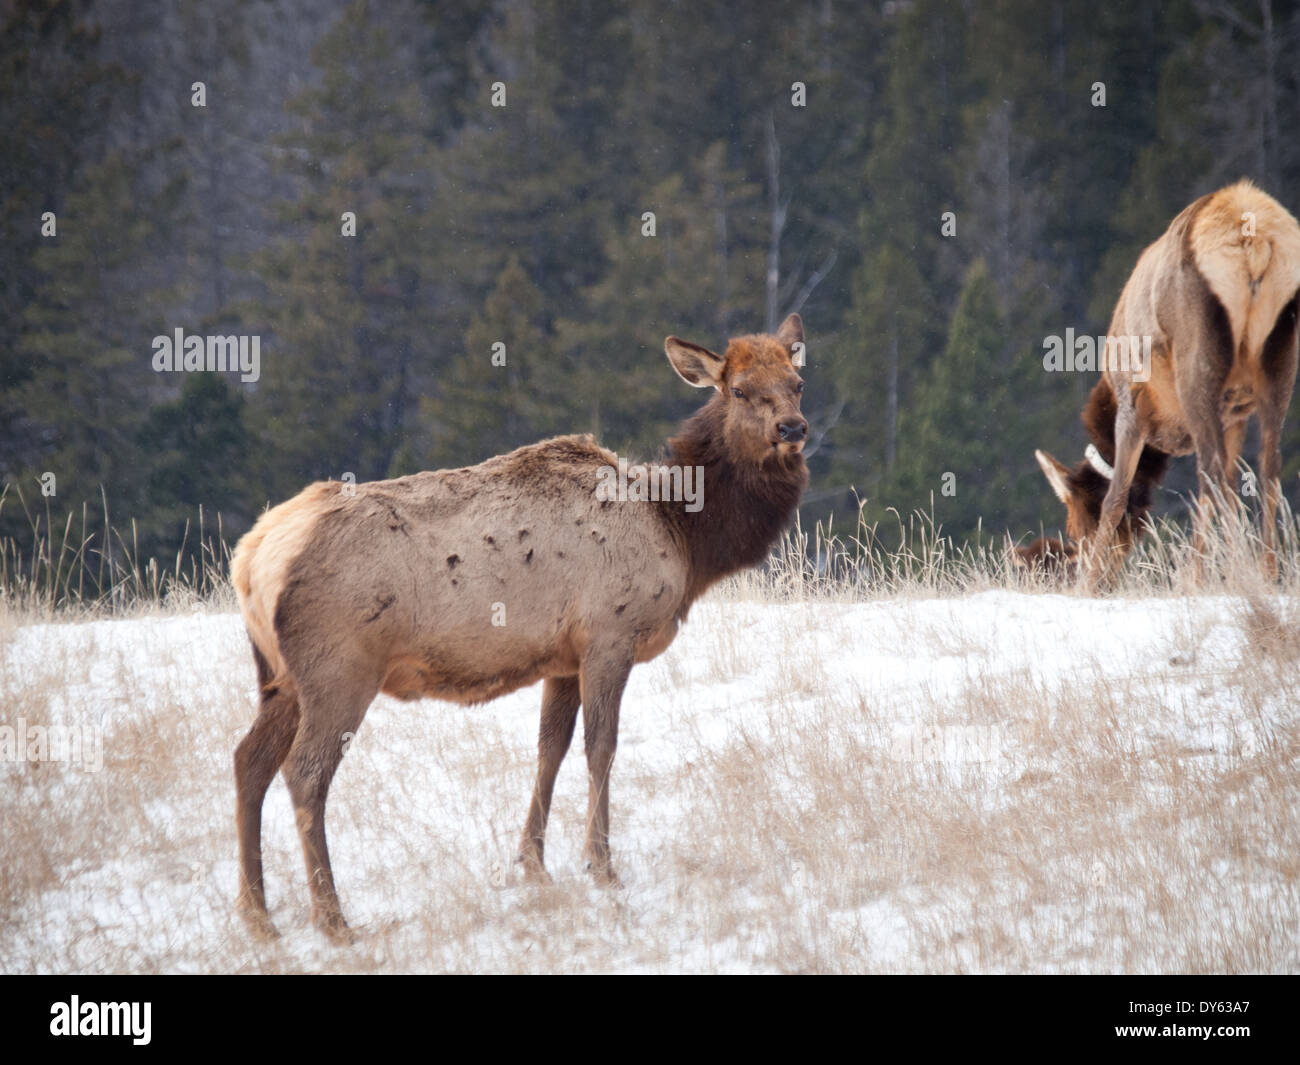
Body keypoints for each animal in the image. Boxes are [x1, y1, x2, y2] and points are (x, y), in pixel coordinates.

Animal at [229, 313, 809, 941]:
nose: (792, 427)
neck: (683, 533)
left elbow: (549, 748)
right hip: (339, 668)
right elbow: (601, 747)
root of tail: (253, 556)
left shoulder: (563, 656)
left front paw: (533, 864)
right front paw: (601, 867)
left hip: (280, 676)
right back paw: (332, 918)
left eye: (798, 382)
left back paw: (258, 915)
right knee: (305, 772)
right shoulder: (610, 634)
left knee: (248, 761)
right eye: (739, 390)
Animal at [1032, 180, 1300, 590]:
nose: (1104, 579)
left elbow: (1116, 496)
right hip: (1281, 353)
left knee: (1210, 472)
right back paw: (1267, 572)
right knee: (1268, 465)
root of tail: (1254, 241)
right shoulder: (1235, 413)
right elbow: (1231, 485)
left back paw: (1227, 569)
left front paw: (1087, 586)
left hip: (1195, 360)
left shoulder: (1133, 402)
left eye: (1076, 525)